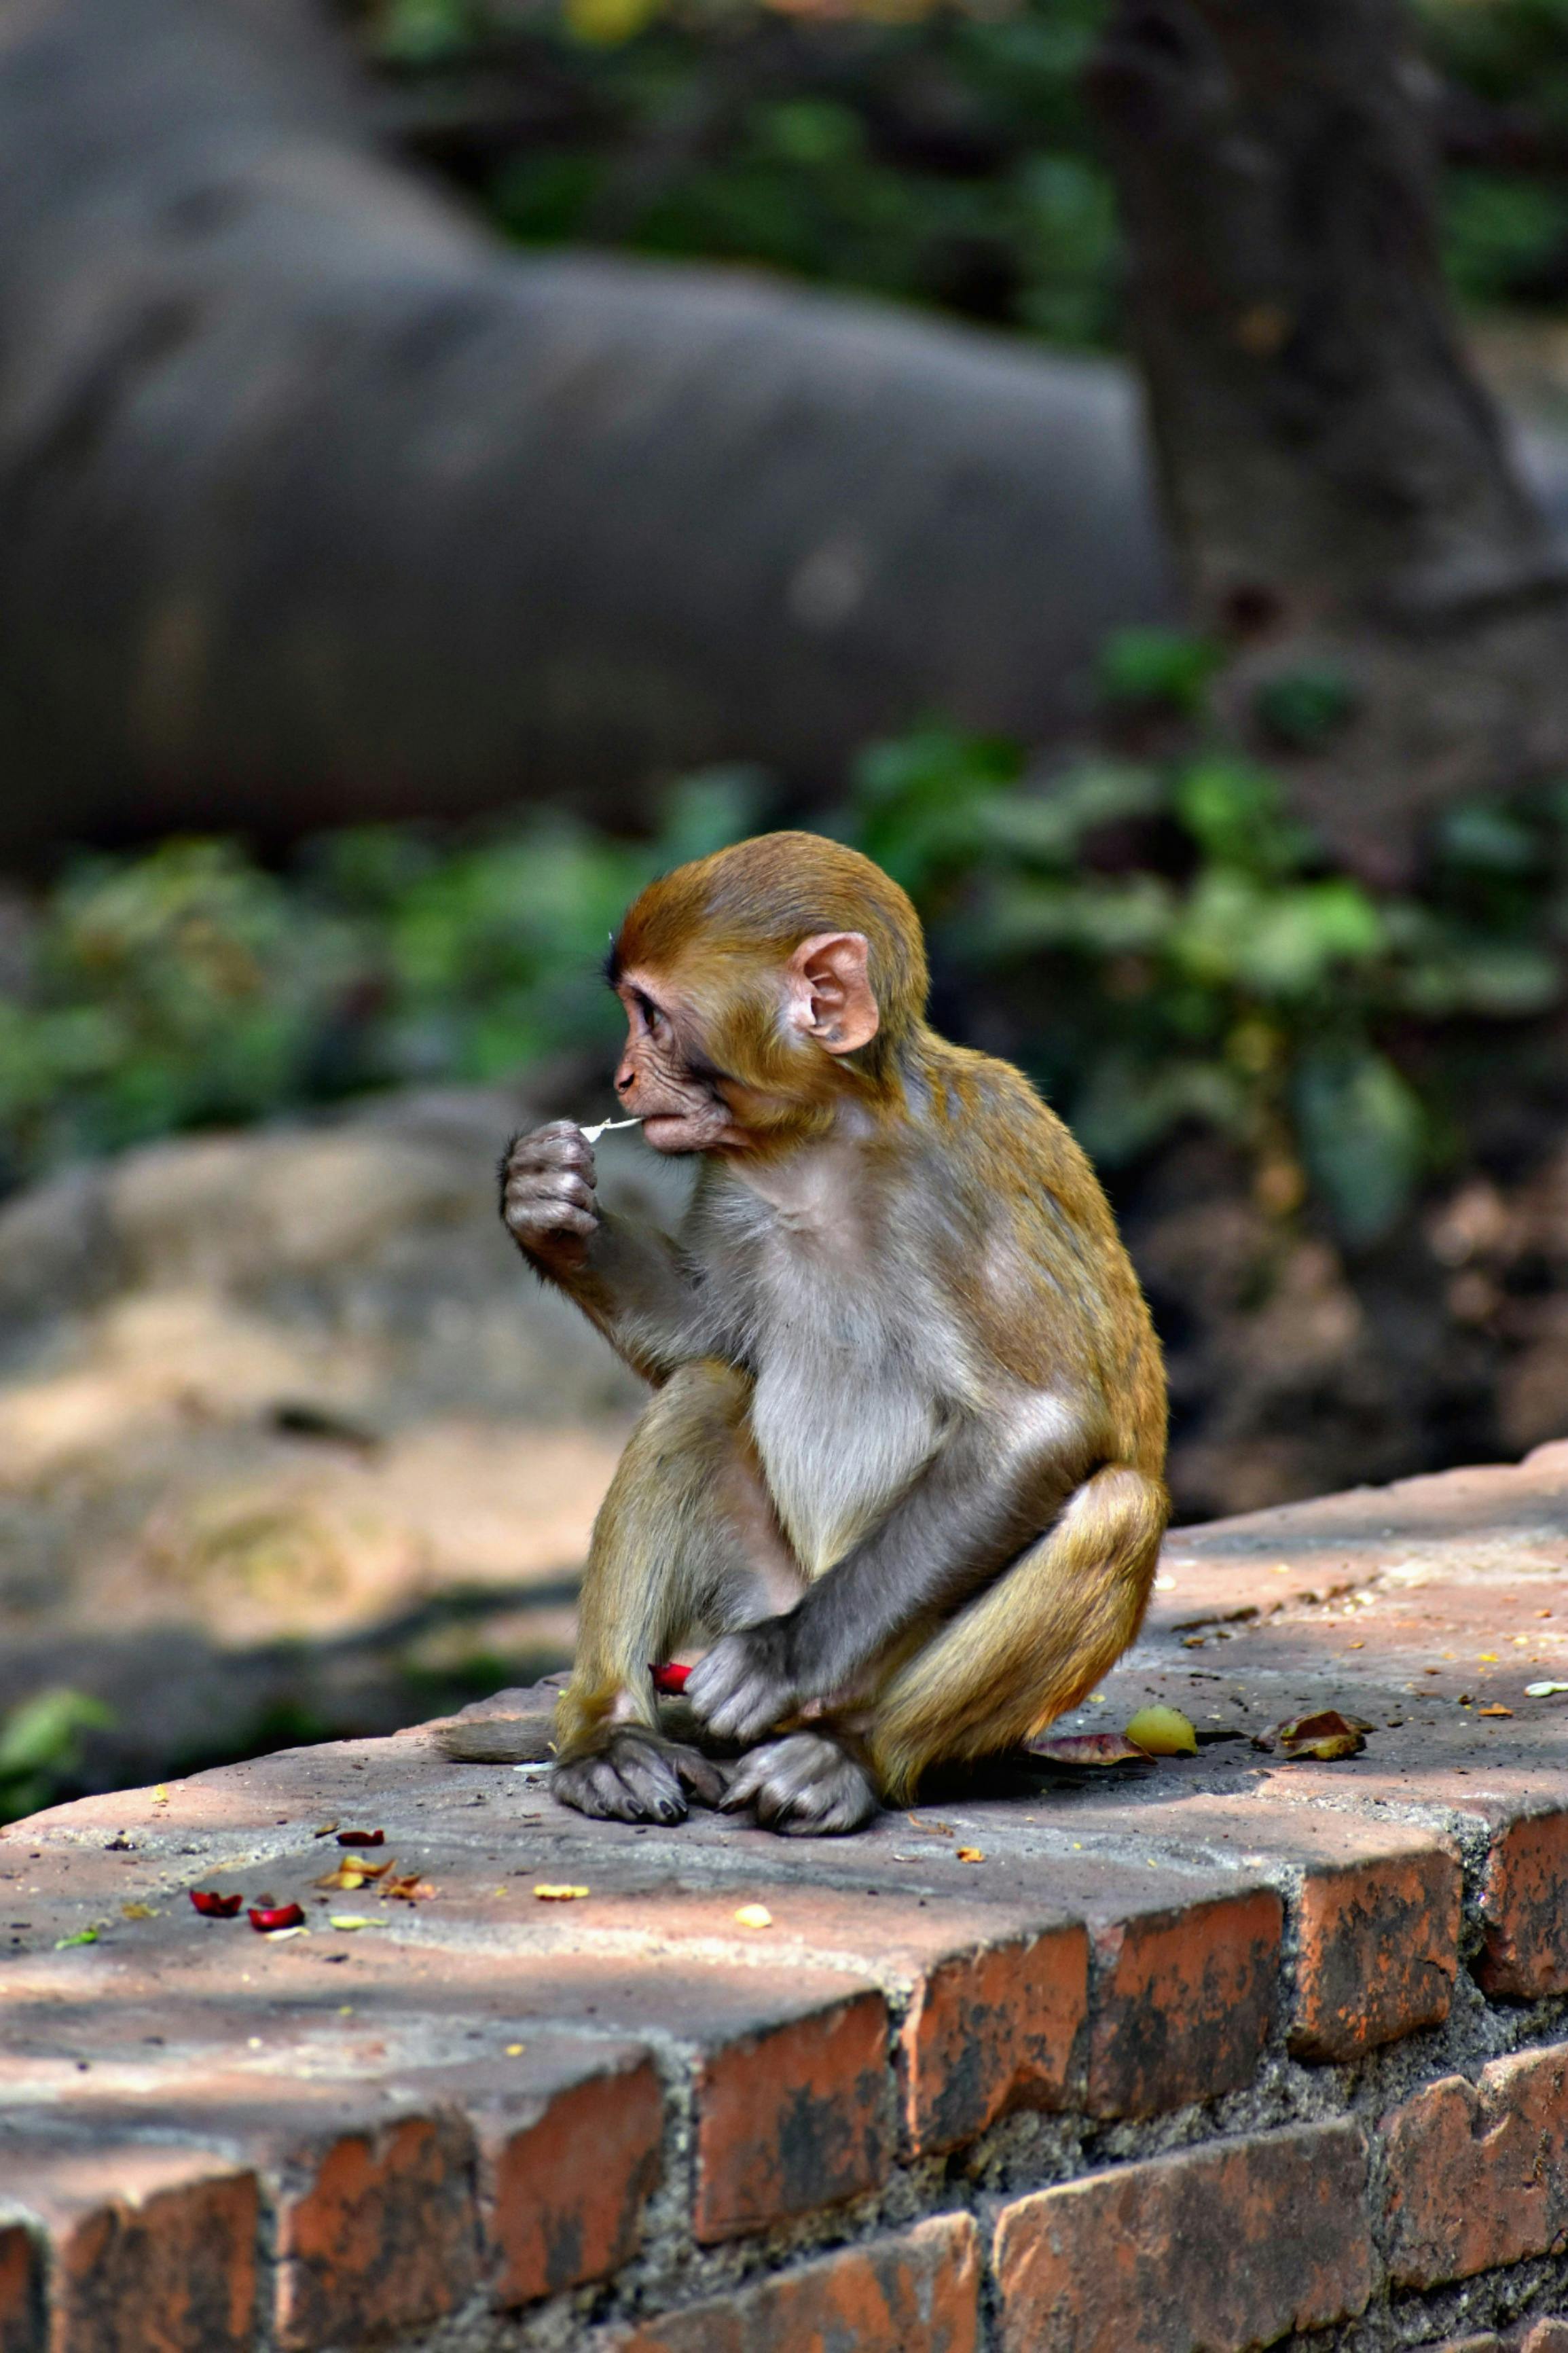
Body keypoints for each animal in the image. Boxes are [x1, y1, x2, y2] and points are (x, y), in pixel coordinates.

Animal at [498, 831, 1167, 1835]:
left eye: (650, 1014)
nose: (618, 1079)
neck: (822, 1137)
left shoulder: (960, 1186)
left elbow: (1037, 1423)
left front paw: (778, 1657)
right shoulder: (731, 1182)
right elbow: (707, 1335)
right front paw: (544, 1200)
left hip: (873, 1663)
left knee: (1116, 1508)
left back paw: (847, 1757)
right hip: (750, 1584)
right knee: (704, 1391)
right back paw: (608, 1737)